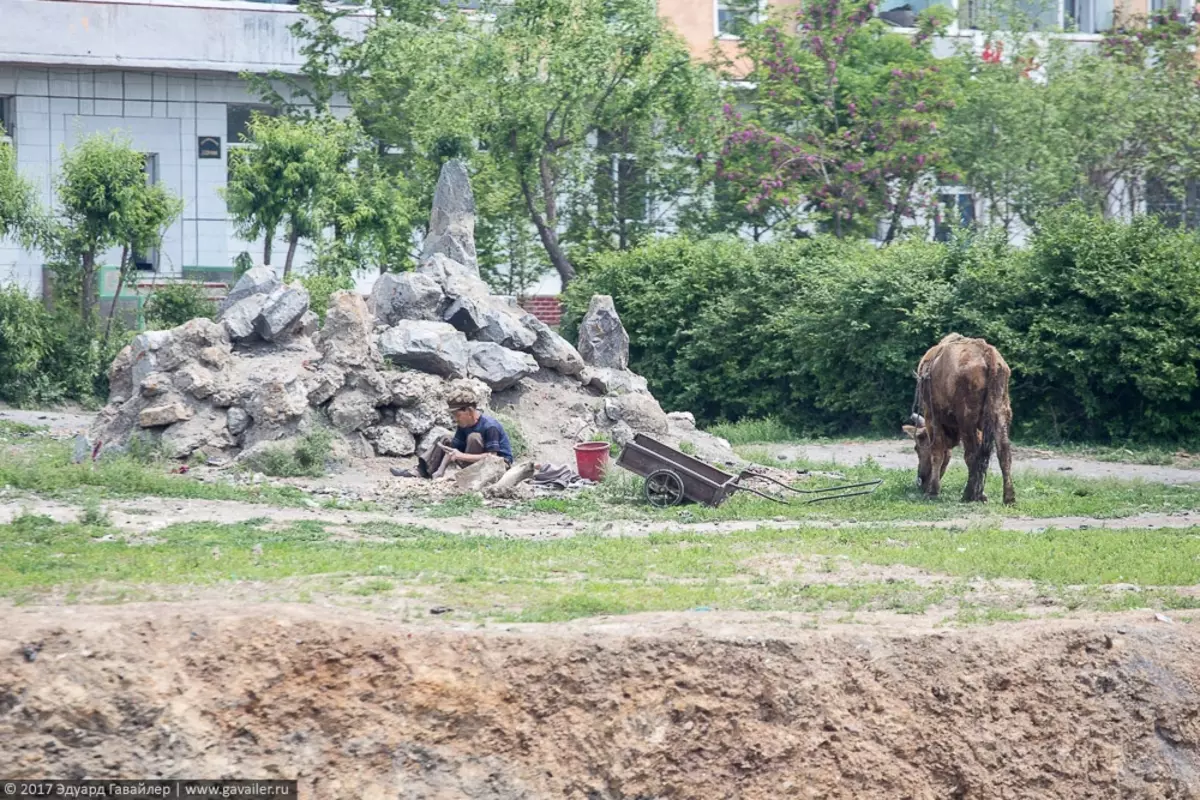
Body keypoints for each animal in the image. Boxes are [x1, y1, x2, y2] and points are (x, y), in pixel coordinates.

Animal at [902, 335, 1012, 503]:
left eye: (917, 448)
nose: (921, 480)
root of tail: (988, 353)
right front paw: (982, 493)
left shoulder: (932, 417)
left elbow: (937, 452)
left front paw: (933, 491)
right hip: (999, 412)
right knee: (1003, 451)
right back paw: (1008, 497)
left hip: (966, 417)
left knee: (972, 454)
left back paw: (968, 494)